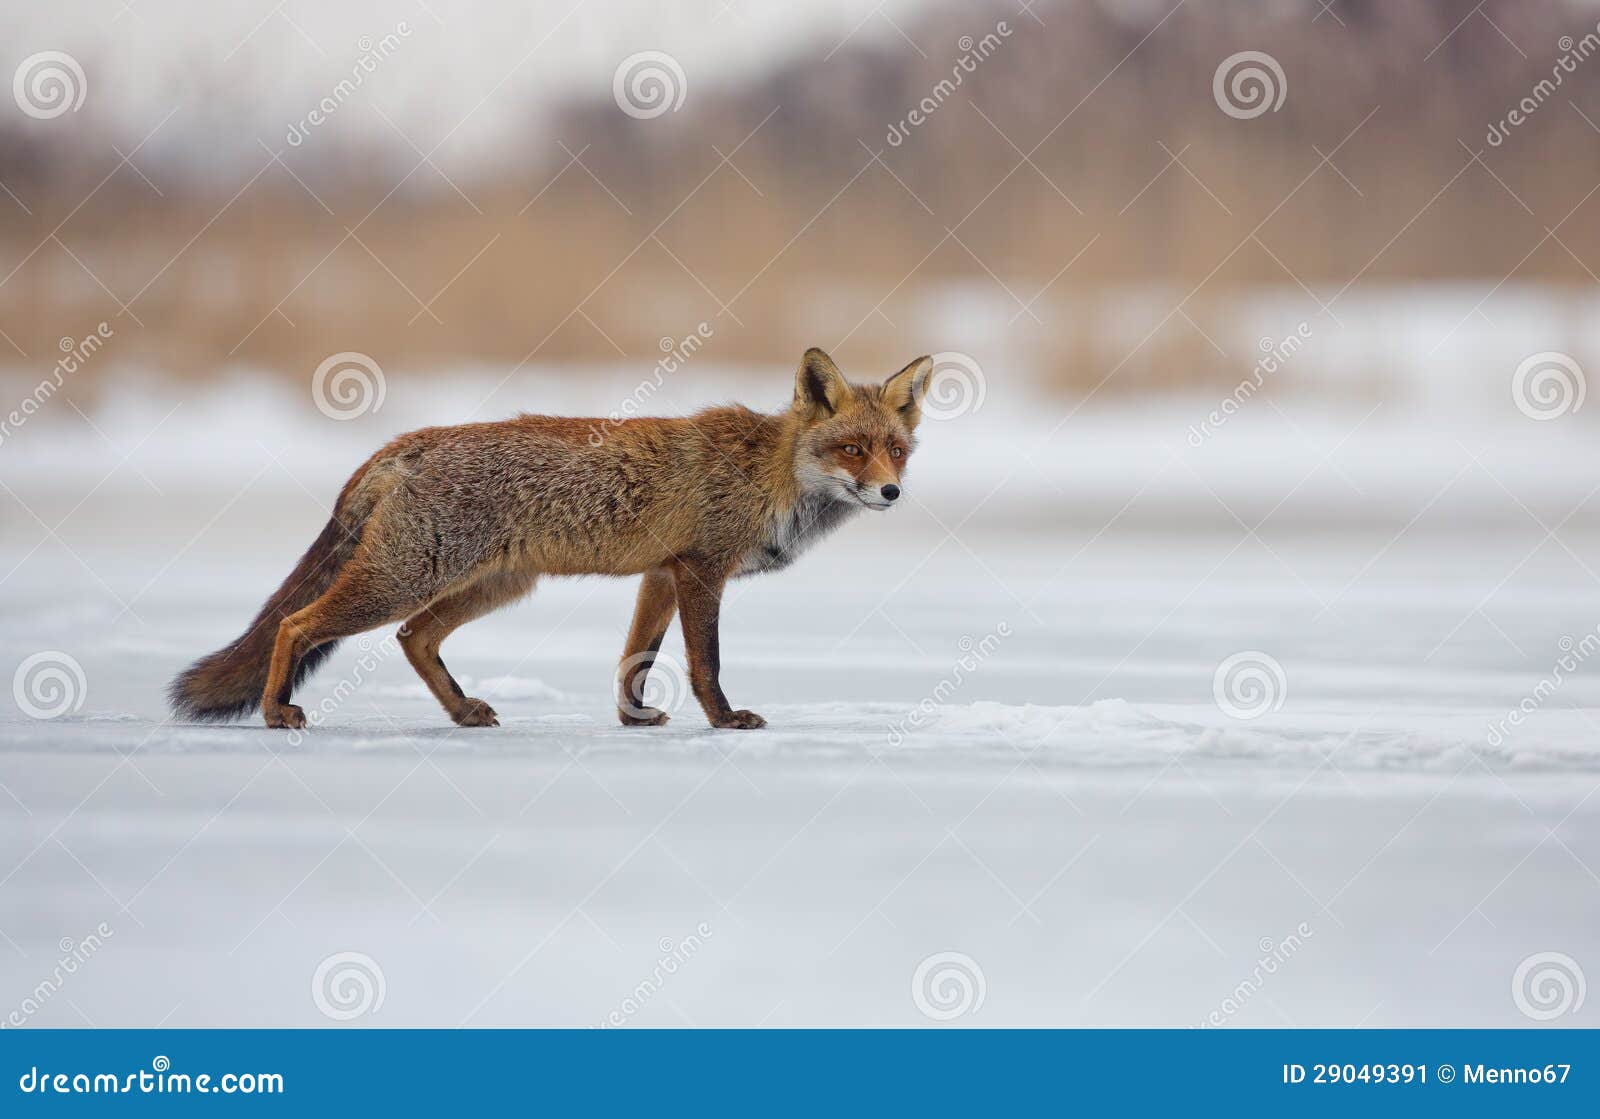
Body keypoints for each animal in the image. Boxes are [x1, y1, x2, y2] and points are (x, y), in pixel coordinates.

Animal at [168, 347, 934, 731]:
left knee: (413, 637)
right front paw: (723, 720)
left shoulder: (662, 574)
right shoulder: (700, 569)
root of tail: (411, 442)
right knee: (295, 624)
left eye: (896, 451)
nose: (891, 492)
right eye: (852, 449)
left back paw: (462, 710)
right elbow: (705, 664)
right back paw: (276, 711)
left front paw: (632, 718)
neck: (768, 474)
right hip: (404, 578)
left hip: (493, 586)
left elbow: (635, 659)